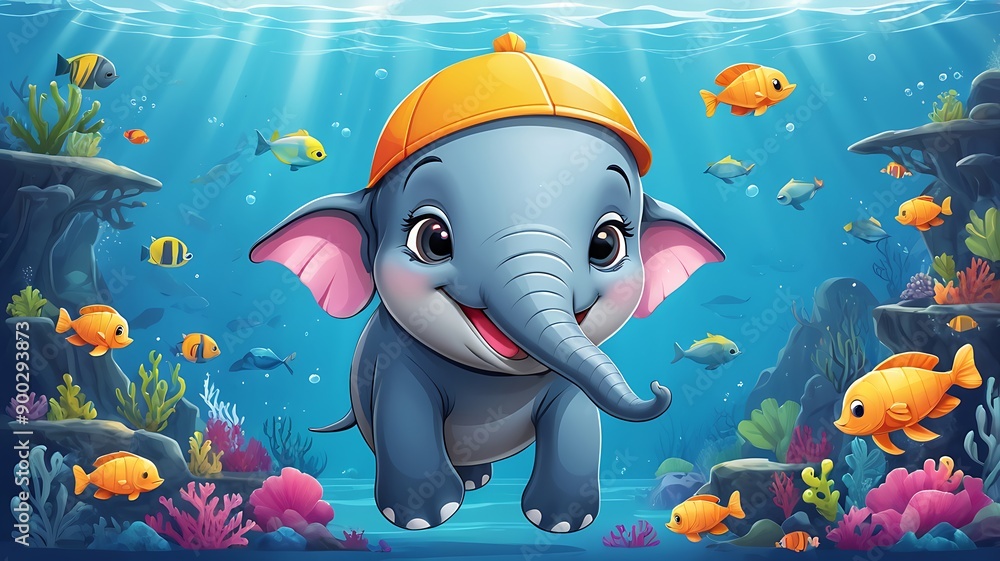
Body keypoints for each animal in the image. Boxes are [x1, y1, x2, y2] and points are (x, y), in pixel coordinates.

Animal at [250, 116, 724, 533]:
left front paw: (564, 520)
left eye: (607, 243)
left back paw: (476, 479)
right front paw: (421, 517)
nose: (659, 388)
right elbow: (405, 419)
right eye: (433, 238)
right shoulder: (395, 360)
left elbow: (577, 423)